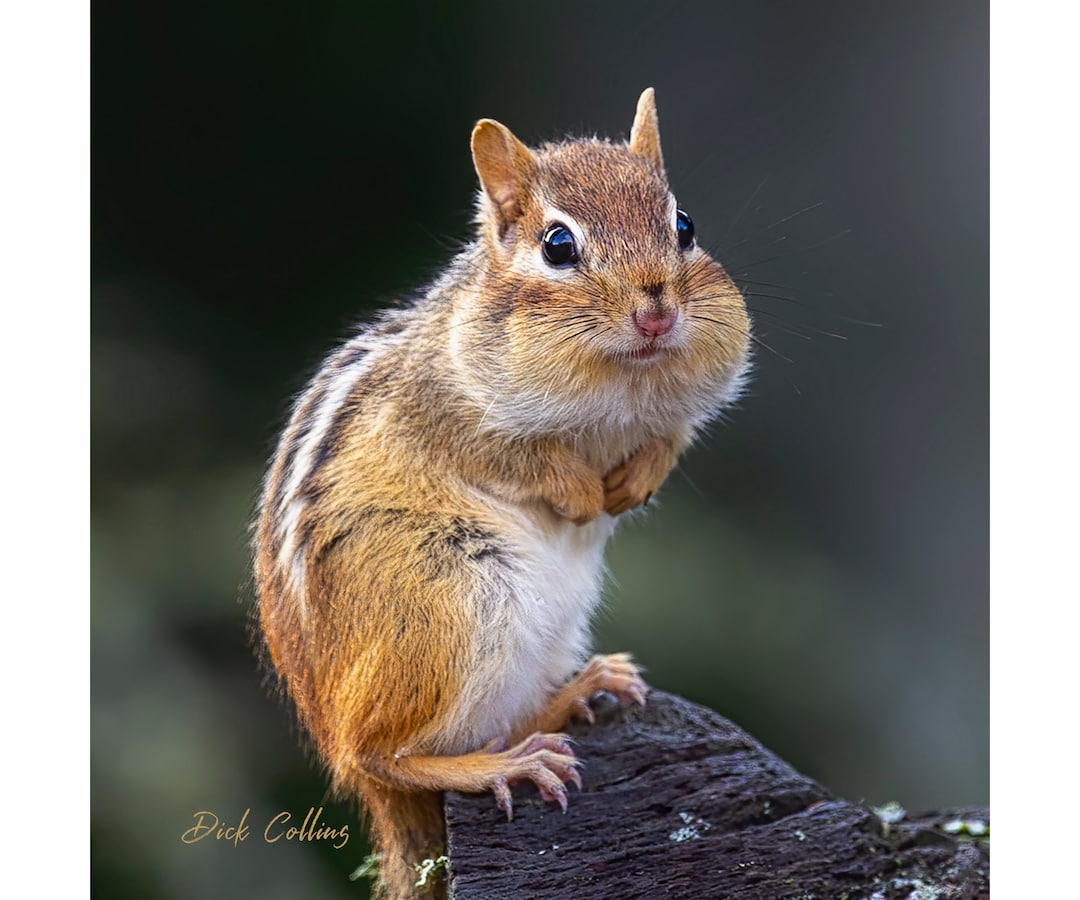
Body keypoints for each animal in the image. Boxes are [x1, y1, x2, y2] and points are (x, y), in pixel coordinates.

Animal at [253, 88, 751, 899]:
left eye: (685, 226)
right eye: (558, 246)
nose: (657, 312)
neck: (623, 386)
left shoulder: (675, 414)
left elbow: (669, 442)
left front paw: (633, 482)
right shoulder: (452, 414)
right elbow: (523, 459)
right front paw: (581, 493)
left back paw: (578, 692)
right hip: (451, 597)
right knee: (380, 753)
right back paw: (501, 765)